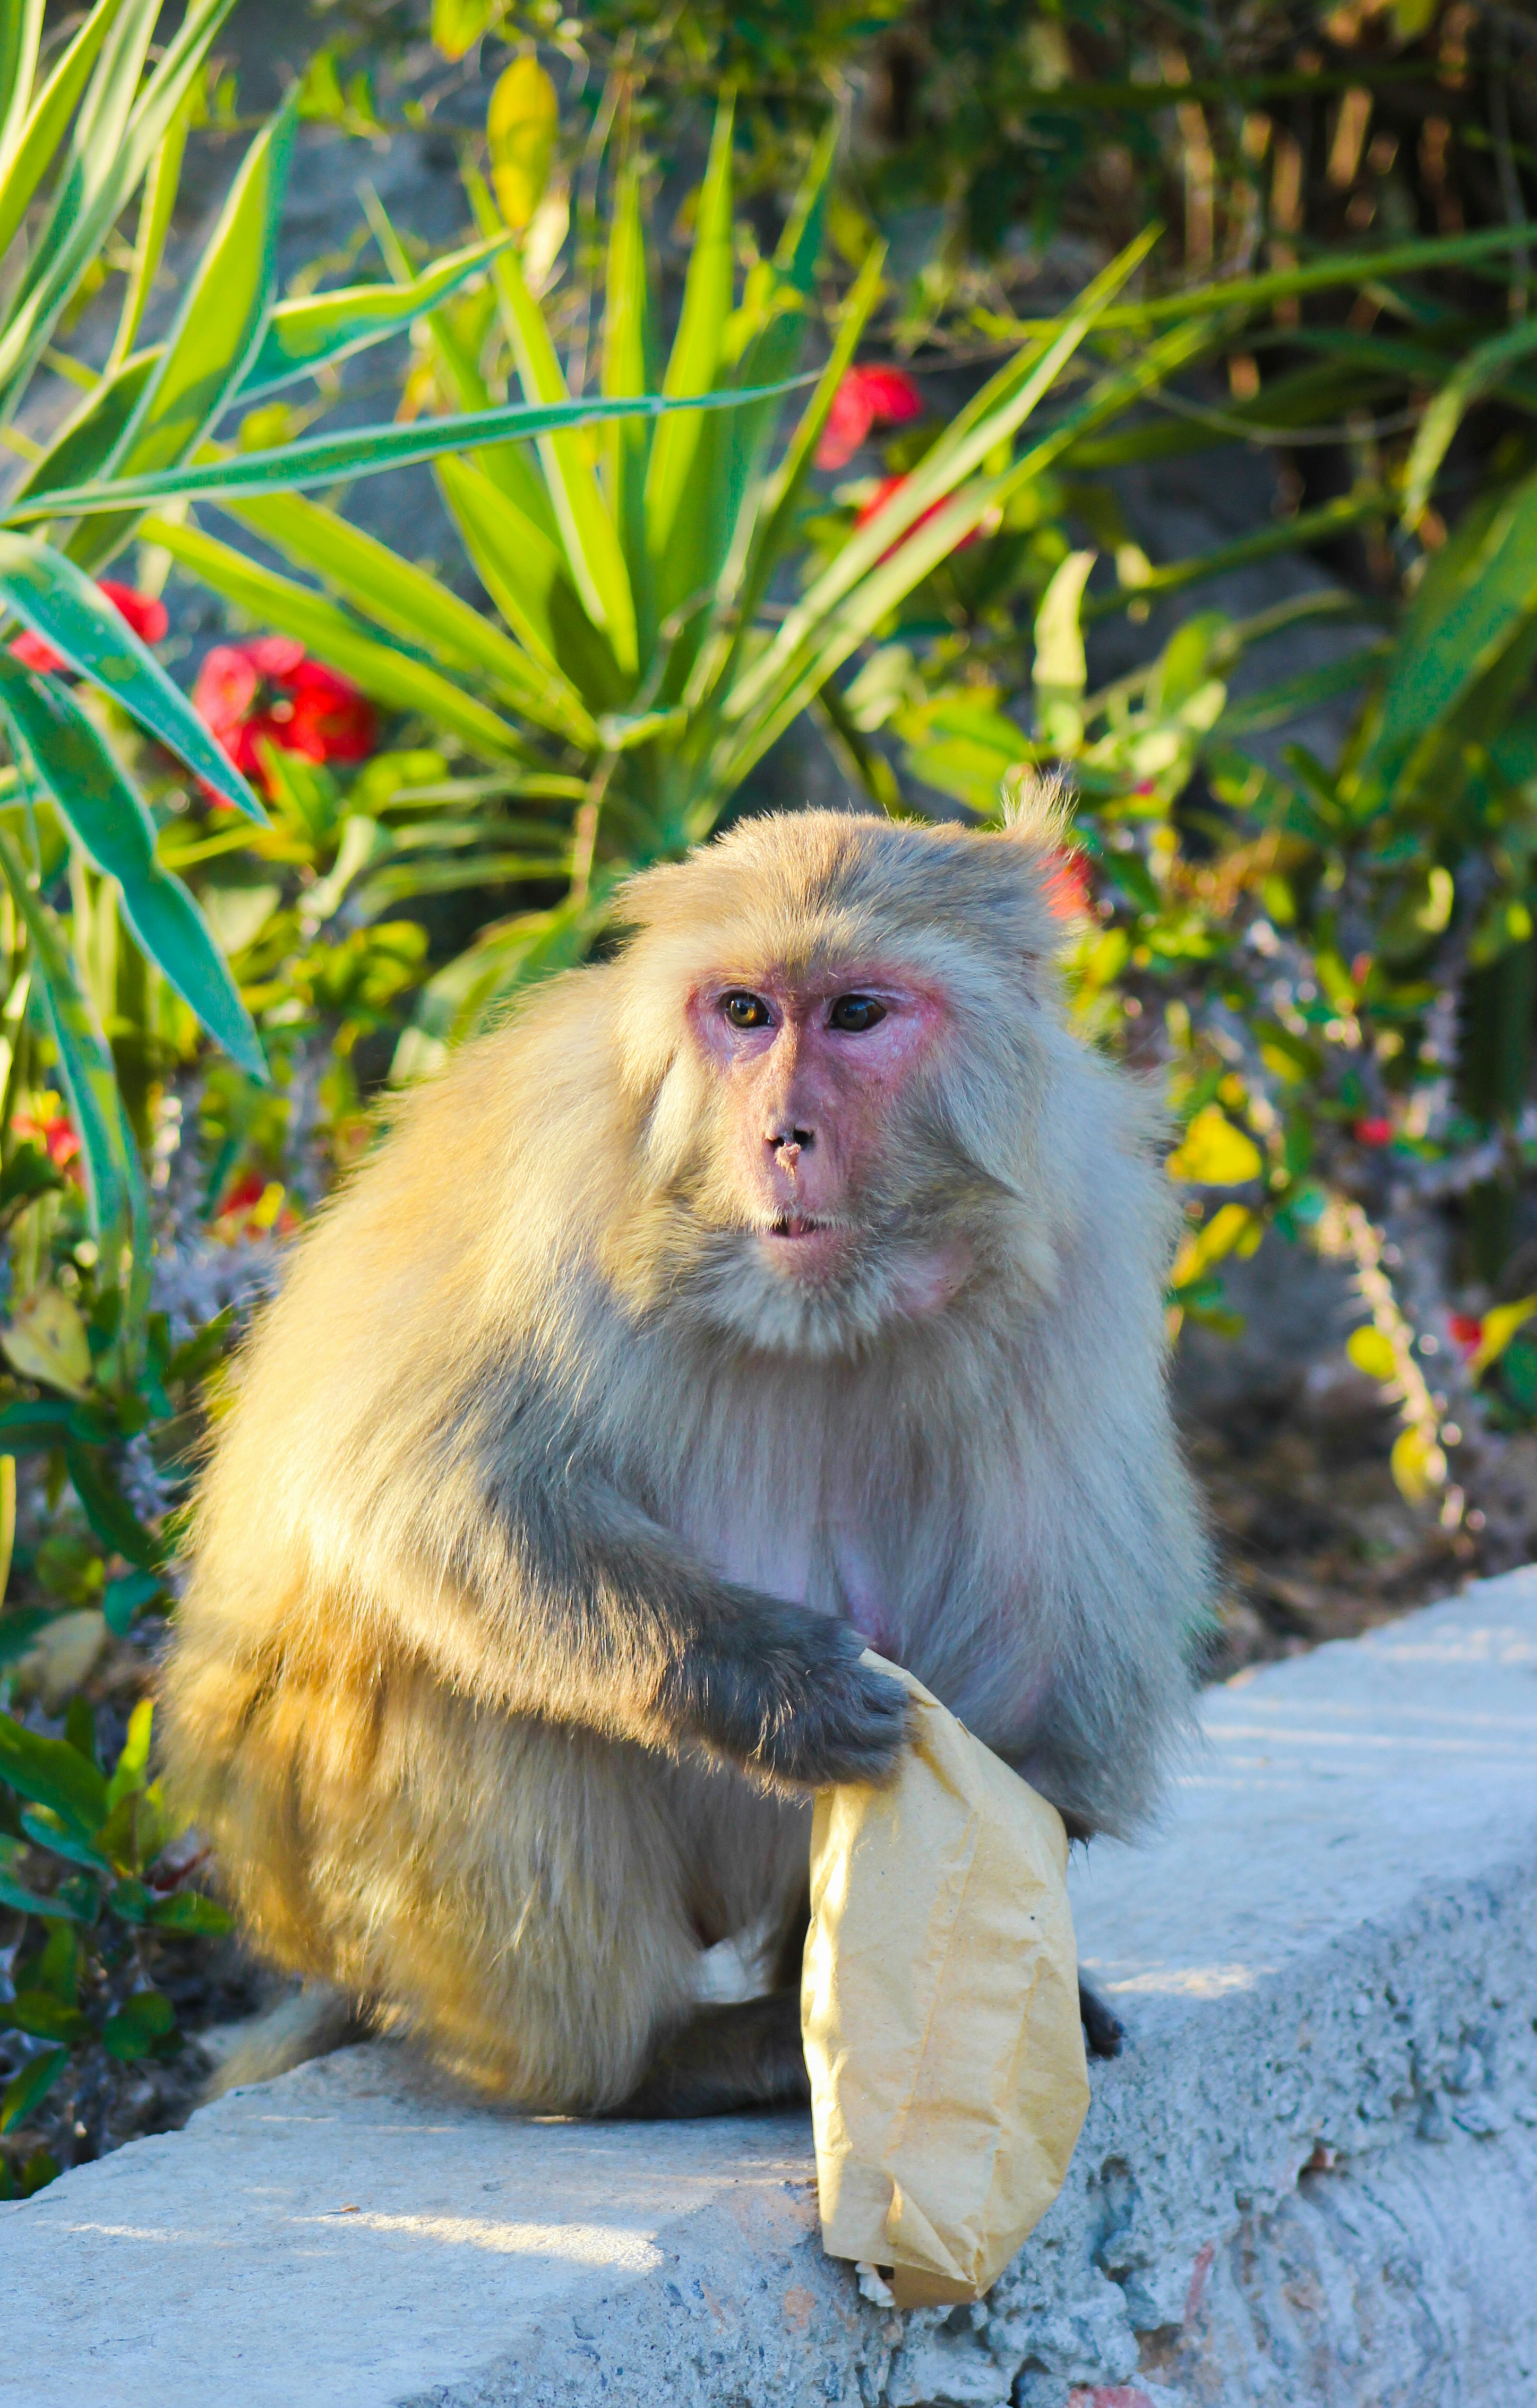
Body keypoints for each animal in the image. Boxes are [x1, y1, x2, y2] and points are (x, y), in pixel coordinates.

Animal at [161, 792, 1213, 2119]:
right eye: (746, 1013)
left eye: (854, 1014)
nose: (784, 1133)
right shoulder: (562, 1182)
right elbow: (411, 1489)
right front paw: (778, 1686)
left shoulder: (1076, 1233)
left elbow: (1048, 1654)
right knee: (447, 1668)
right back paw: (650, 2057)